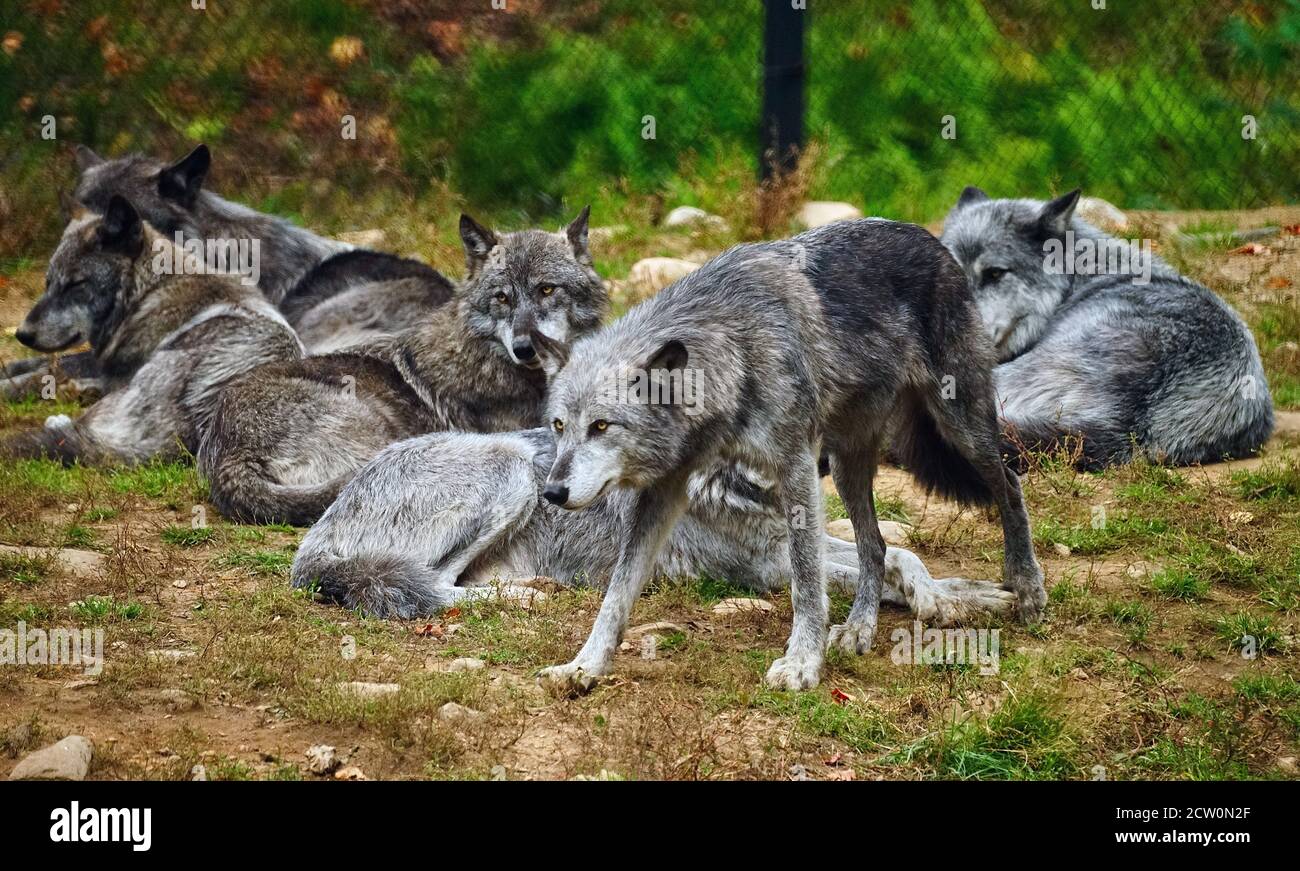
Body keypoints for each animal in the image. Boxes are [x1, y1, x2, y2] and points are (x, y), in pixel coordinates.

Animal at [1, 196, 301, 464]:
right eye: (48, 283)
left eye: (76, 284)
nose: (22, 334)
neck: (149, 291)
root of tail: (184, 431)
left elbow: (40, 376)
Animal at [291, 332, 1016, 636]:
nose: (816, 466)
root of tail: (310, 549)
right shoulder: (769, 566)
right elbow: (888, 568)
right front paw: (944, 601)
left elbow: (904, 556)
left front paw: (969, 594)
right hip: (511, 470)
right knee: (434, 587)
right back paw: (526, 597)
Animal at [538, 219, 1045, 693]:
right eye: (559, 426)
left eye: (601, 426)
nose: (552, 493)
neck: (732, 353)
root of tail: (928, 236)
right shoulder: (666, 490)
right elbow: (618, 591)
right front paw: (583, 666)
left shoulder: (795, 465)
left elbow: (805, 578)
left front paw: (803, 663)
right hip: (846, 465)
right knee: (876, 546)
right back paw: (860, 629)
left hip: (961, 427)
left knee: (1009, 484)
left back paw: (1026, 588)